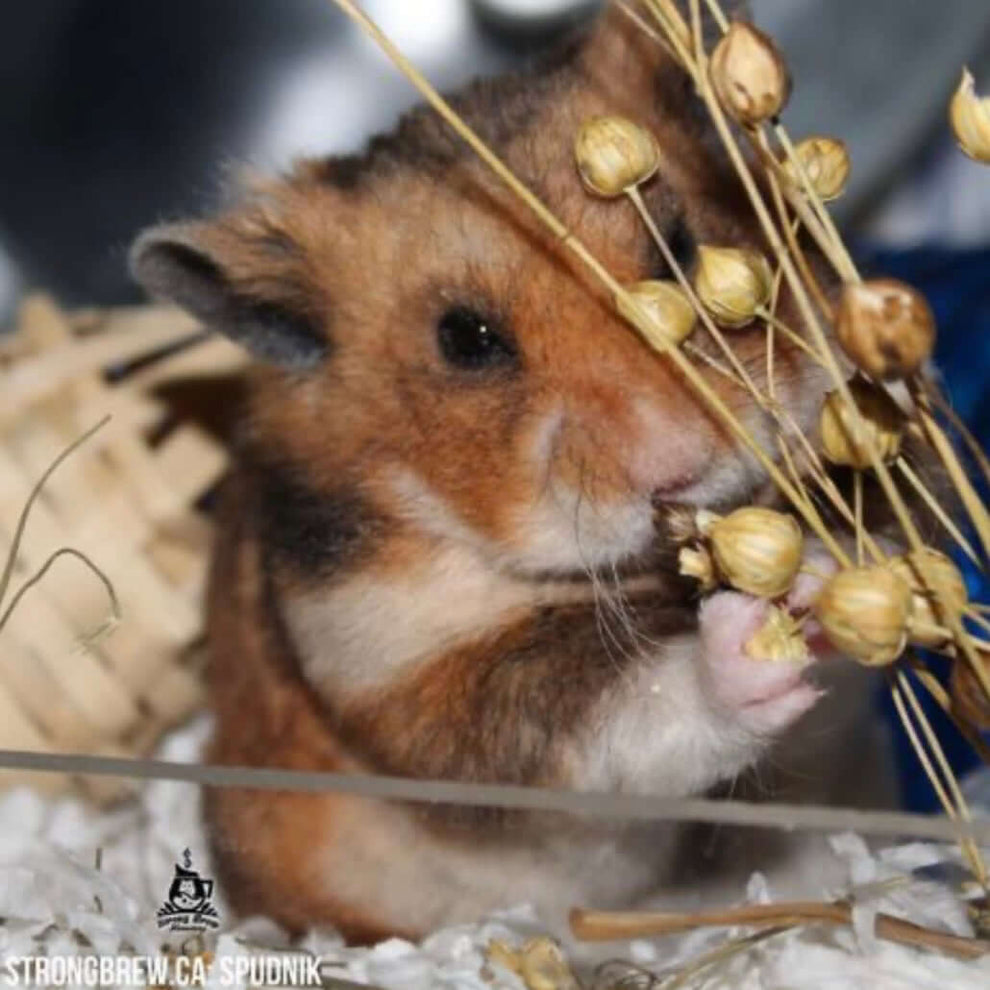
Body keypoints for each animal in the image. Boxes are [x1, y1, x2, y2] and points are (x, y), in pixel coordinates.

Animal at [130, 1, 892, 944]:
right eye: (465, 339)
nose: (678, 468)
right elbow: (620, 707)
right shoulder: (413, 676)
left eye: (681, 246)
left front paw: (823, 582)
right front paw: (754, 640)